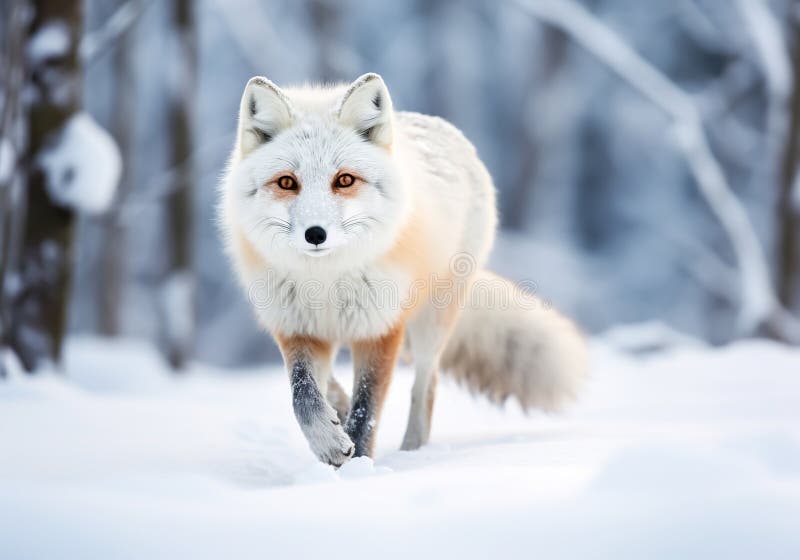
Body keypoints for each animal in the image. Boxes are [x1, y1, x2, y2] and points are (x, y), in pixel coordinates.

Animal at [218, 73, 587, 466]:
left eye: (344, 180)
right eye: (287, 182)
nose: (315, 234)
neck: (328, 280)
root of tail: (442, 127)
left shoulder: (380, 328)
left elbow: (366, 411)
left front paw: (358, 465)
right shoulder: (297, 328)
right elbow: (303, 395)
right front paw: (329, 440)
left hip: (432, 324)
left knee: (426, 387)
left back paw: (412, 453)